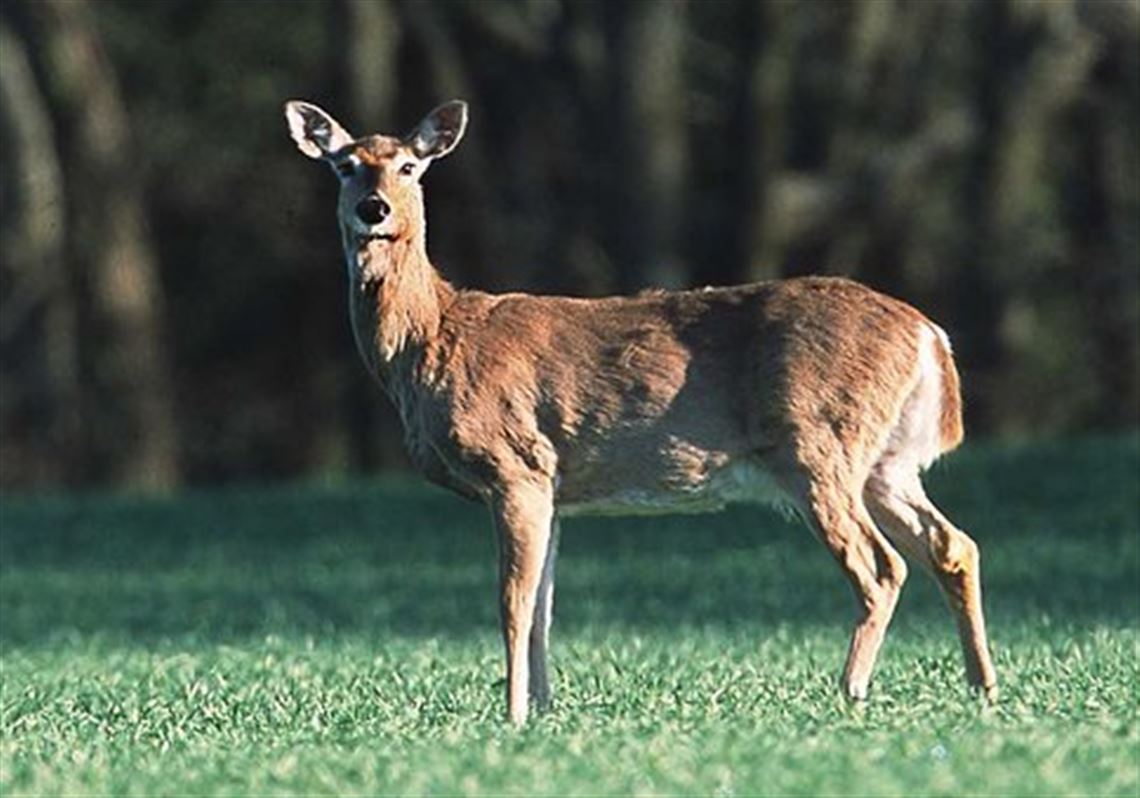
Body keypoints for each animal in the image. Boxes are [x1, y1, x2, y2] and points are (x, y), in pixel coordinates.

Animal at [284, 99, 998, 725]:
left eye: (409, 165)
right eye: (345, 164)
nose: (373, 209)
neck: (430, 339)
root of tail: (929, 335)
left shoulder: (516, 465)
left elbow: (512, 602)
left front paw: (512, 714)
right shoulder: (554, 487)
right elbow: (544, 607)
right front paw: (545, 710)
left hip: (820, 446)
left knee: (882, 567)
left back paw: (849, 690)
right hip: (884, 462)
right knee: (953, 545)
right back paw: (982, 687)